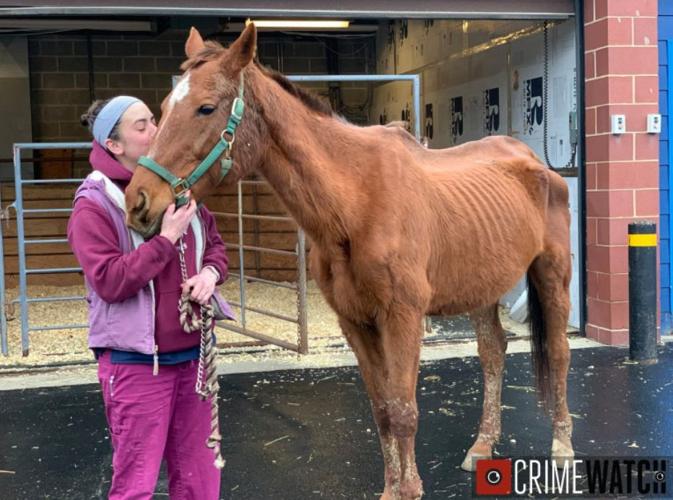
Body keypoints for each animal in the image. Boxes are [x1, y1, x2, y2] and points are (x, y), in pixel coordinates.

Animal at [125, 24, 574, 500]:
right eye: (163, 109)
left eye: (206, 107)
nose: (138, 202)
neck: (355, 204)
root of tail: (534, 160)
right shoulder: (354, 321)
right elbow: (382, 410)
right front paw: (393, 489)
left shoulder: (402, 318)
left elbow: (403, 411)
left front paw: (410, 489)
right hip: (482, 289)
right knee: (492, 352)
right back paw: (482, 444)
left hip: (552, 274)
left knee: (559, 351)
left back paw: (562, 445)